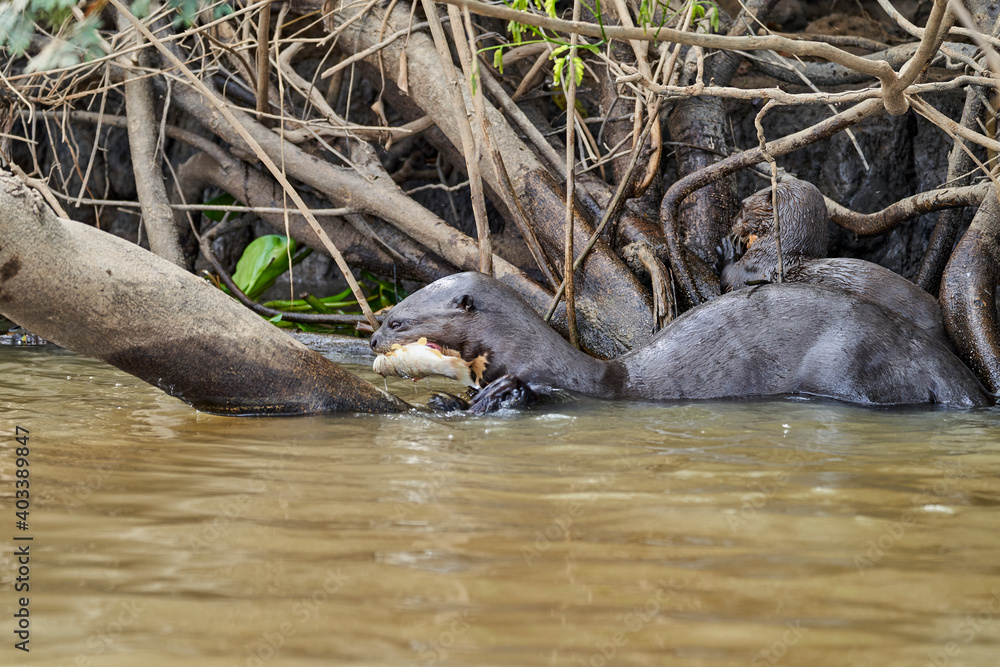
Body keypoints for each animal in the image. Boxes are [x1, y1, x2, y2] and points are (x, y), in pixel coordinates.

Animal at [718, 180, 944, 340]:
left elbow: (728, 278)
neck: (776, 252)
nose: (732, 223)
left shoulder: (753, 268)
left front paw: (726, 246)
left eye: (742, 206)